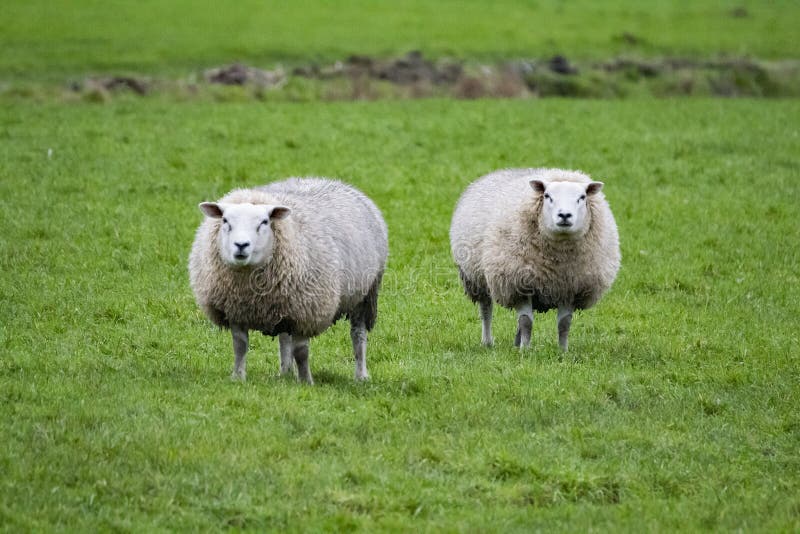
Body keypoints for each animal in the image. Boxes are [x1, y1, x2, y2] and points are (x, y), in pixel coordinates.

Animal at [189, 178, 388, 384]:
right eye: (225, 221)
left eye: (264, 222)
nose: (241, 245)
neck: (250, 288)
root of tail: (333, 181)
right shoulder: (236, 311)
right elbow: (240, 347)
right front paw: (238, 377)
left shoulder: (306, 312)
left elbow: (301, 352)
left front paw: (306, 381)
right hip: (284, 305)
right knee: (284, 338)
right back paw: (285, 372)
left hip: (366, 294)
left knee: (358, 335)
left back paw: (361, 375)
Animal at [449, 168, 620, 351]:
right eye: (547, 196)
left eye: (582, 197)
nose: (564, 215)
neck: (557, 262)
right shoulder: (518, 284)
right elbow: (526, 322)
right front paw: (525, 351)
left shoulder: (569, 288)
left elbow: (564, 324)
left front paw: (563, 351)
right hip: (476, 278)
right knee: (486, 310)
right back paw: (488, 342)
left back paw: (516, 343)